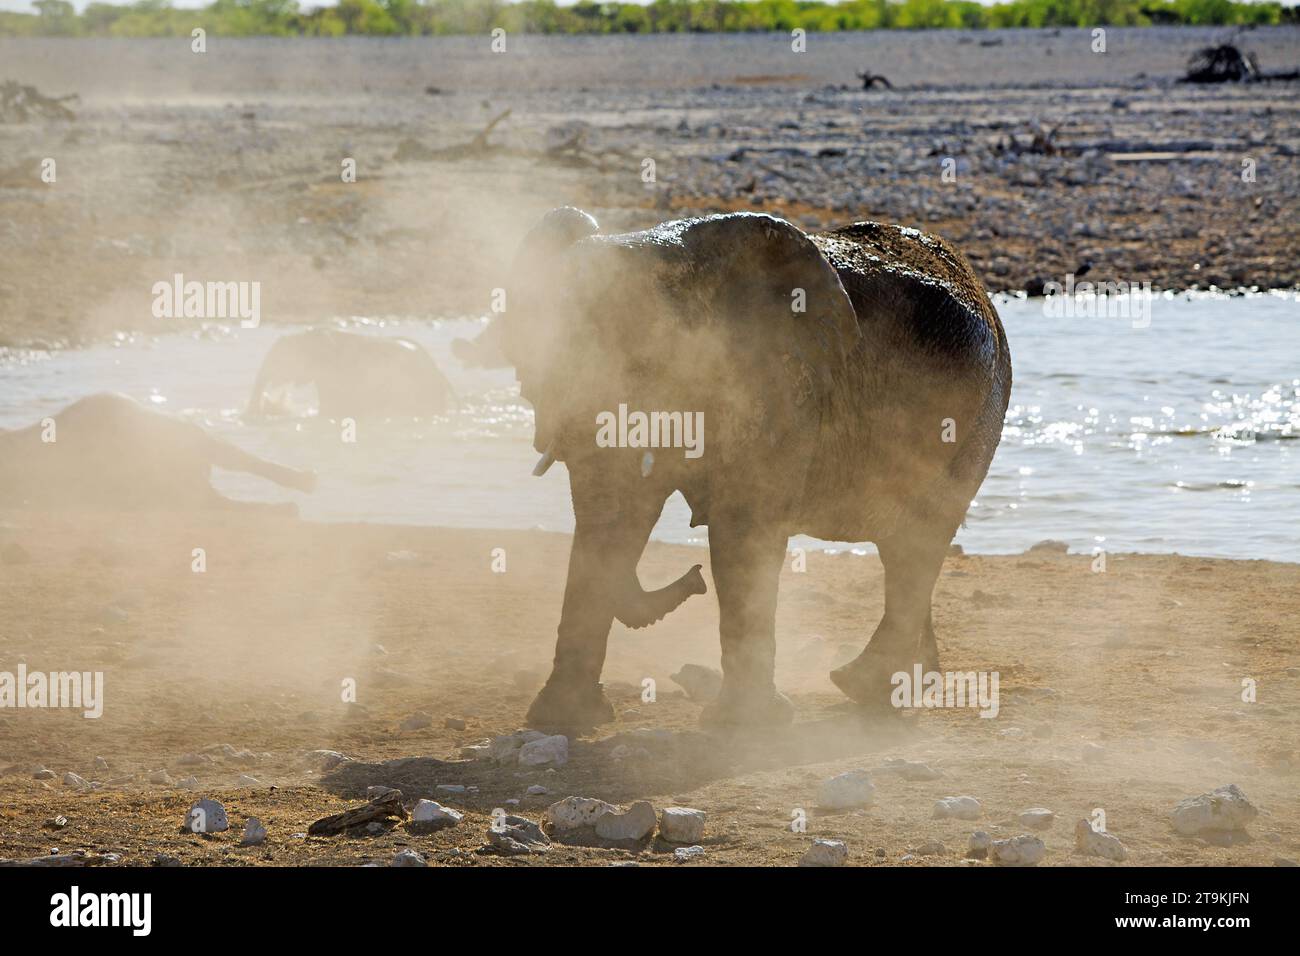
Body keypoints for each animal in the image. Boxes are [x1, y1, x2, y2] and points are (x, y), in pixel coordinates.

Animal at [501, 207, 1011, 730]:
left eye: (654, 359)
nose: (693, 578)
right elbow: (621, 516)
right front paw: (561, 721)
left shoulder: (778, 386)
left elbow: (742, 527)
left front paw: (746, 726)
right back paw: (905, 686)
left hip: (979, 417)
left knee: (919, 543)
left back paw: (863, 689)